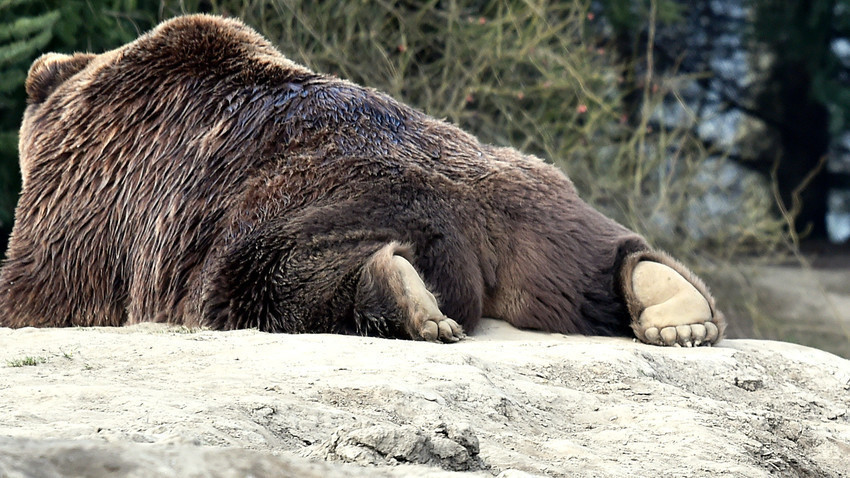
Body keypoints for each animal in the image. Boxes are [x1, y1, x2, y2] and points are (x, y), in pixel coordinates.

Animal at [0, 14, 725, 347]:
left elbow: (34, 288)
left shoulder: (87, 202)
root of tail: (479, 217)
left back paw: (407, 301)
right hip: (540, 209)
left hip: (303, 209)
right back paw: (675, 308)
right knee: (596, 262)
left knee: (267, 279)